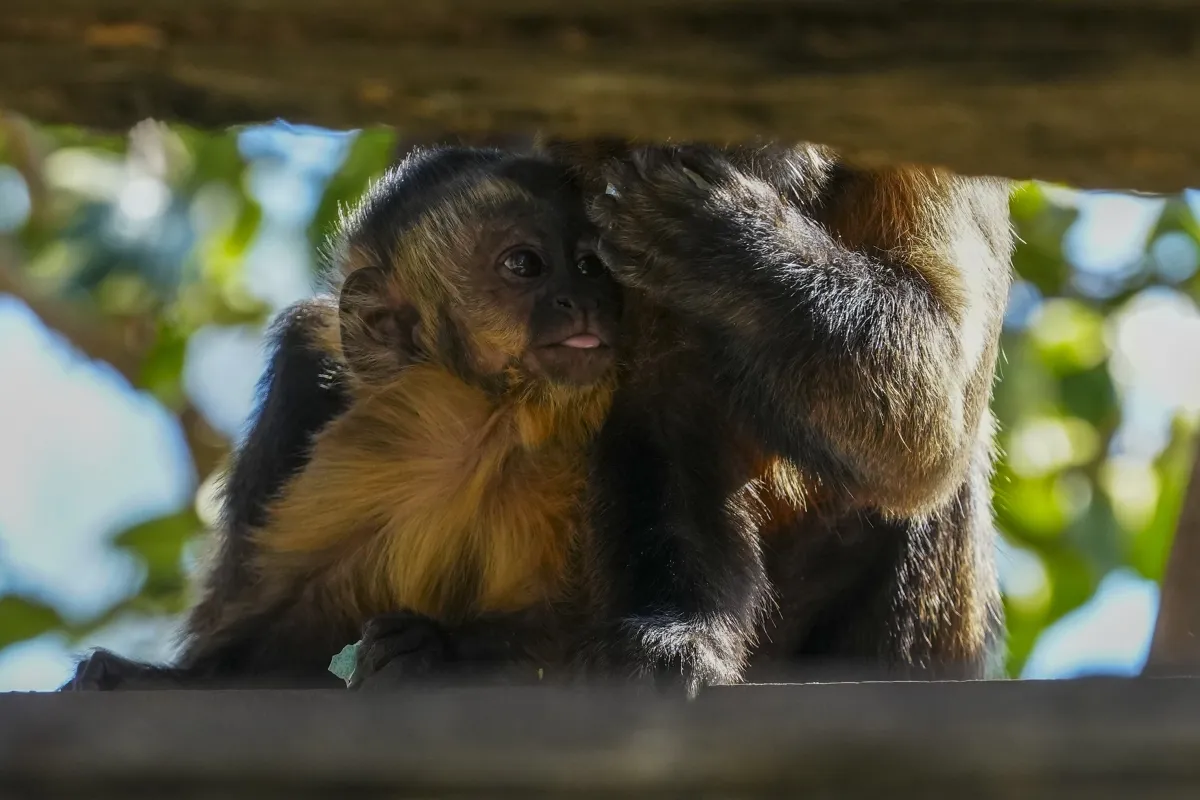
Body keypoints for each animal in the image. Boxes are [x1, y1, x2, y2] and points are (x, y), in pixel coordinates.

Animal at [63, 144, 624, 691]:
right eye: (524, 264)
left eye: (591, 265)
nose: (582, 298)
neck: (492, 417)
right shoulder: (302, 375)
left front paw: (427, 648)